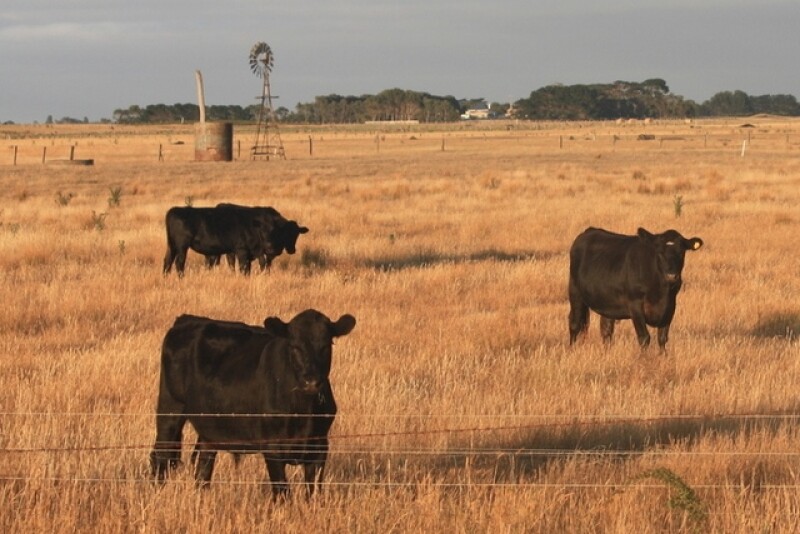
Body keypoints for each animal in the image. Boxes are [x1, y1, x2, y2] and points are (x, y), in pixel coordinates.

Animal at [150, 310, 356, 497]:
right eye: (294, 346)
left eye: (326, 345)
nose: (311, 382)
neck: (304, 412)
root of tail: (186, 319)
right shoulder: (272, 447)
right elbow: (282, 492)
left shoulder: (320, 446)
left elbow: (313, 492)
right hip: (170, 408)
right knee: (160, 454)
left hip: (209, 427)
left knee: (203, 466)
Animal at [568, 227, 703, 351]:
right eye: (659, 252)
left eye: (681, 252)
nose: (671, 276)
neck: (661, 292)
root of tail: (589, 231)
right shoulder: (635, 305)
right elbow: (644, 337)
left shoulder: (670, 306)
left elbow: (662, 338)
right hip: (575, 292)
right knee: (575, 324)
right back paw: (572, 350)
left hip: (607, 301)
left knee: (606, 329)